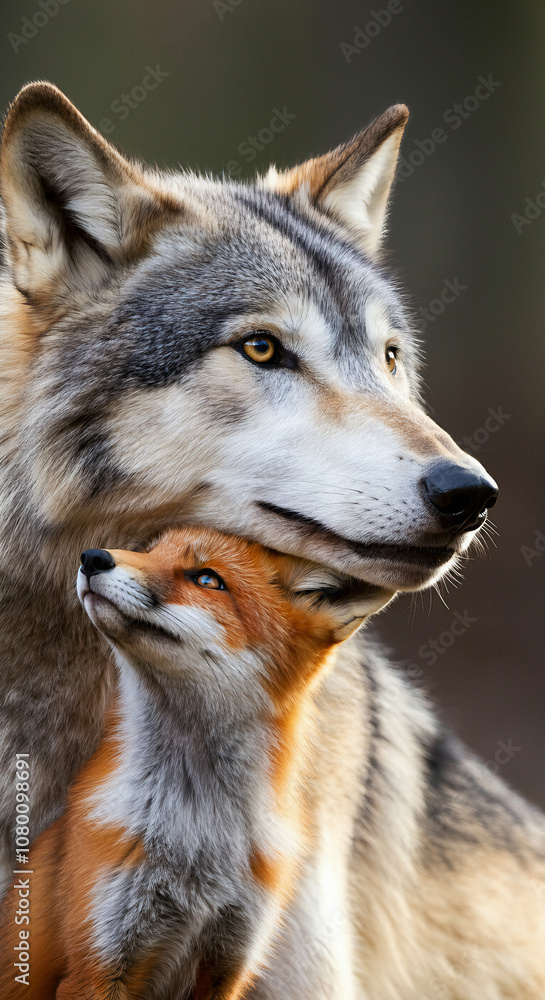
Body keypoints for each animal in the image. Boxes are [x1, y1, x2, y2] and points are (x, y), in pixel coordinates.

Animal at [0, 528, 392, 999]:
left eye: (207, 579)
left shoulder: (227, 964)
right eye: (150, 552)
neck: (199, 832)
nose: (92, 557)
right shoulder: (97, 967)